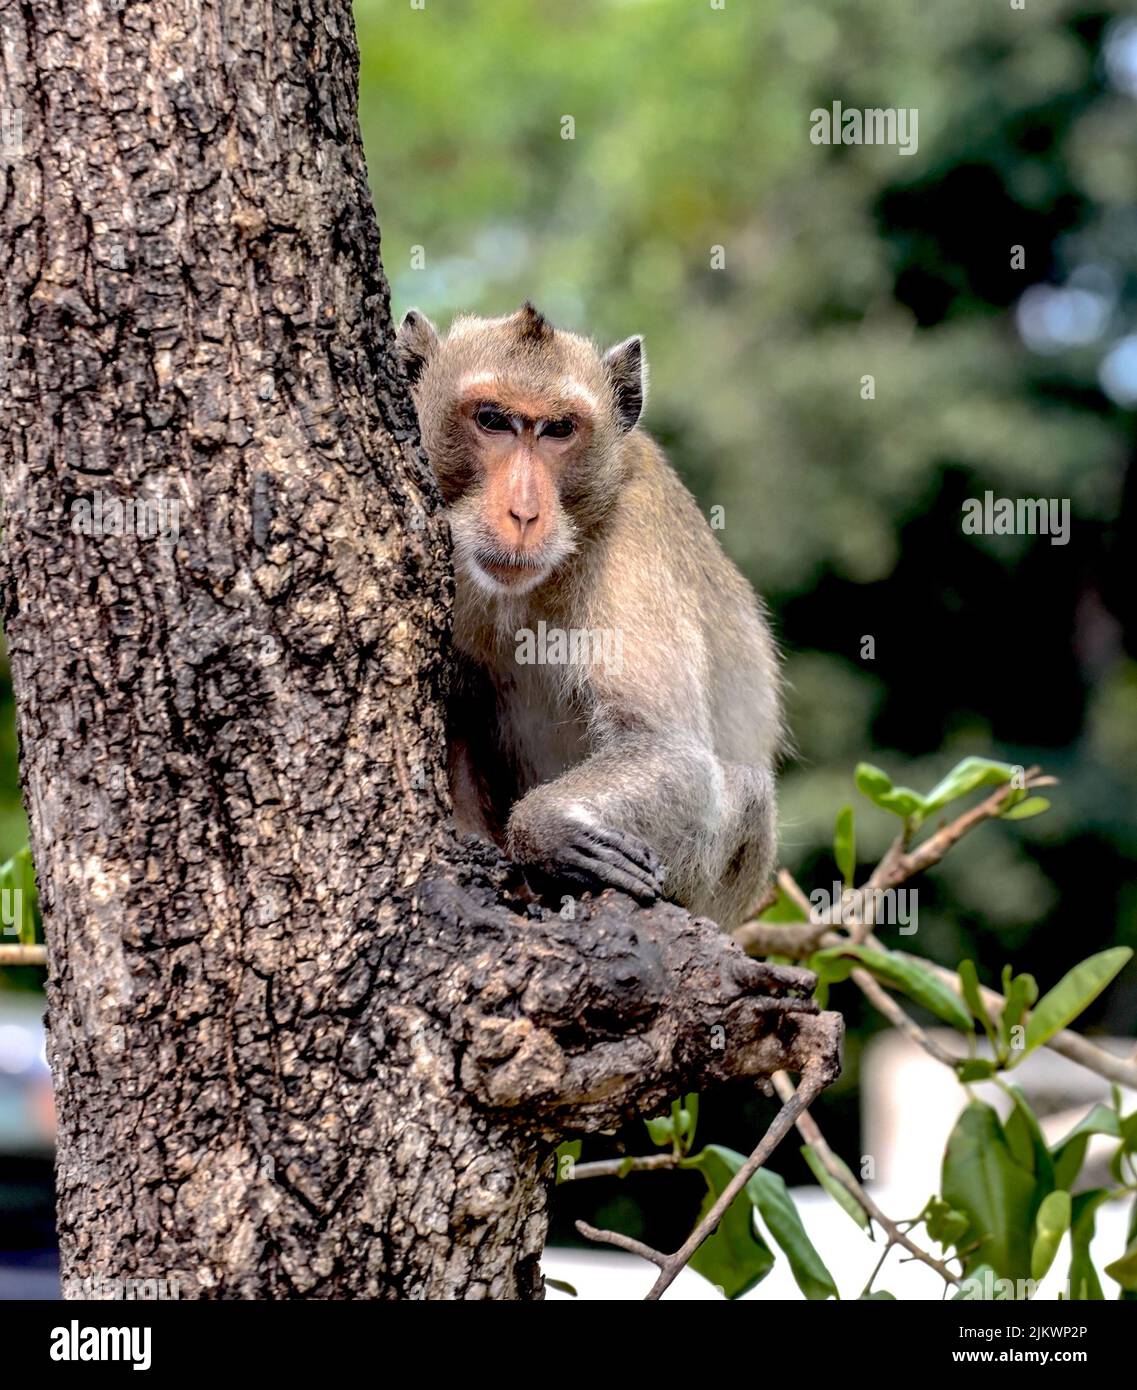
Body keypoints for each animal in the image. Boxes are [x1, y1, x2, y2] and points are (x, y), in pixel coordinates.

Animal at [395, 301, 782, 930]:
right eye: (493, 420)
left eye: (558, 431)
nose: (524, 512)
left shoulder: (632, 539)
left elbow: (669, 750)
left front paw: (546, 830)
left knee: (746, 789)